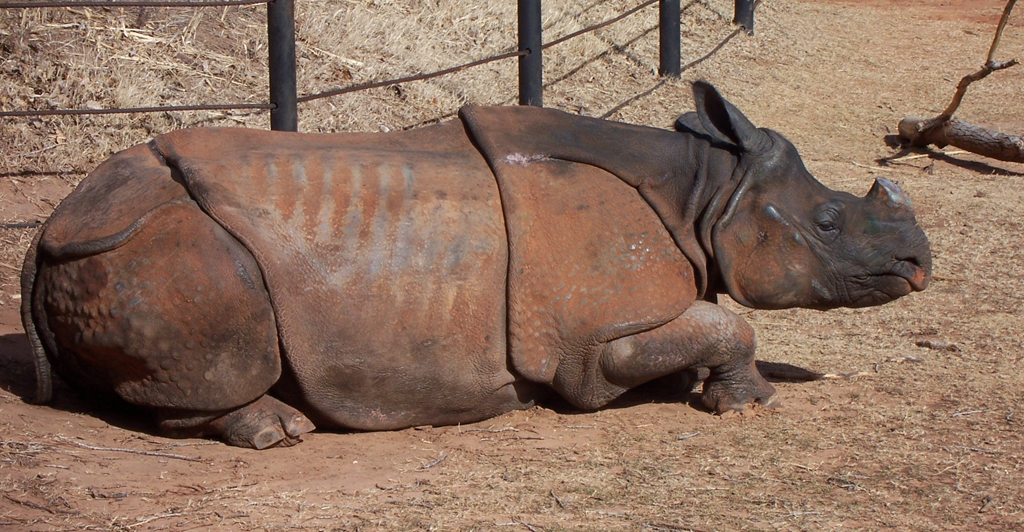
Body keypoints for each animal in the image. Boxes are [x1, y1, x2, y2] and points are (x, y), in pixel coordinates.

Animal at [21, 83, 931, 449]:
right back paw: (278, 432)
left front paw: (703, 388)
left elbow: (706, 323)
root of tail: (46, 229)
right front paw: (747, 404)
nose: (920, 264)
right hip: (160, 245)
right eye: (827, 222)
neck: (707, 190)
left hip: (118, 242)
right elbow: (725, 325)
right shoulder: (591, 347)